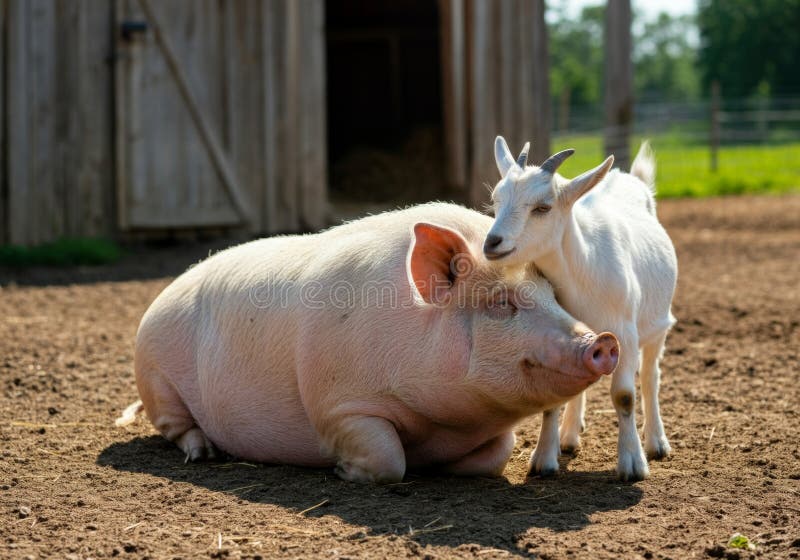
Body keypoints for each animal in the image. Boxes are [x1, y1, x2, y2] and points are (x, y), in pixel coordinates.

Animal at [116, 202, 619, 483]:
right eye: (501, 302)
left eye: (552, 294)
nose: (603, 341)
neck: (443, 424)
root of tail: (163, 294)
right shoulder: (340, 406)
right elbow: (388, 460)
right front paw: (342, 471)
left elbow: (498, 455)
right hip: (156, 376)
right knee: (177, 426)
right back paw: (203, 454)